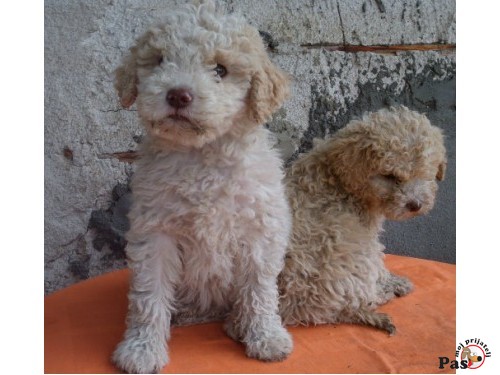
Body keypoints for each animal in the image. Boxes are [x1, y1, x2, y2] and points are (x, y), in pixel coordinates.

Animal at [111, 2, 292, 374]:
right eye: (160, 60)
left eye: (221, 69)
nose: (178, 94)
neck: (202, 155)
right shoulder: (156, 231)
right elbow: (148, 295)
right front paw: (141, 349)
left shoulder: (259, 229)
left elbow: (259, 290)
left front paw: (267, 337)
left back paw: (237, 323)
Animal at [280, 107, 448, 336]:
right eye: (389, 176)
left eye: (424, 173)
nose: (415, 205)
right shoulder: (365, 234)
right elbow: (379, 268)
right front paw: (391, 281)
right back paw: (387, 290)